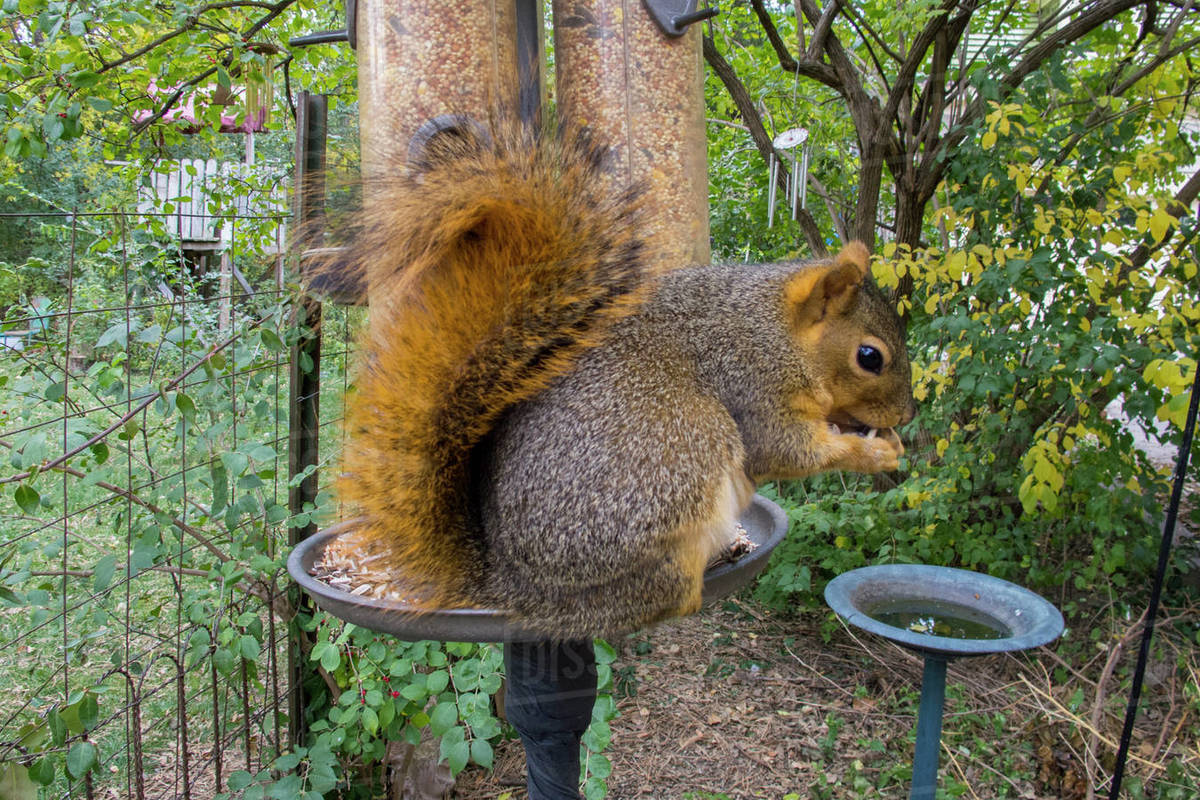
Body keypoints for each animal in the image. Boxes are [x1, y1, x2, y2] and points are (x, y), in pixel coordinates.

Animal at [326, 124, 916, 640]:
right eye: (870, 357)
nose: (908, 416)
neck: (773, 329)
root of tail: (511, 587)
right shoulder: (751, 382)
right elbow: (788, 451)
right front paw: (874, 453)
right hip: (680, 467)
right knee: (665, 597)